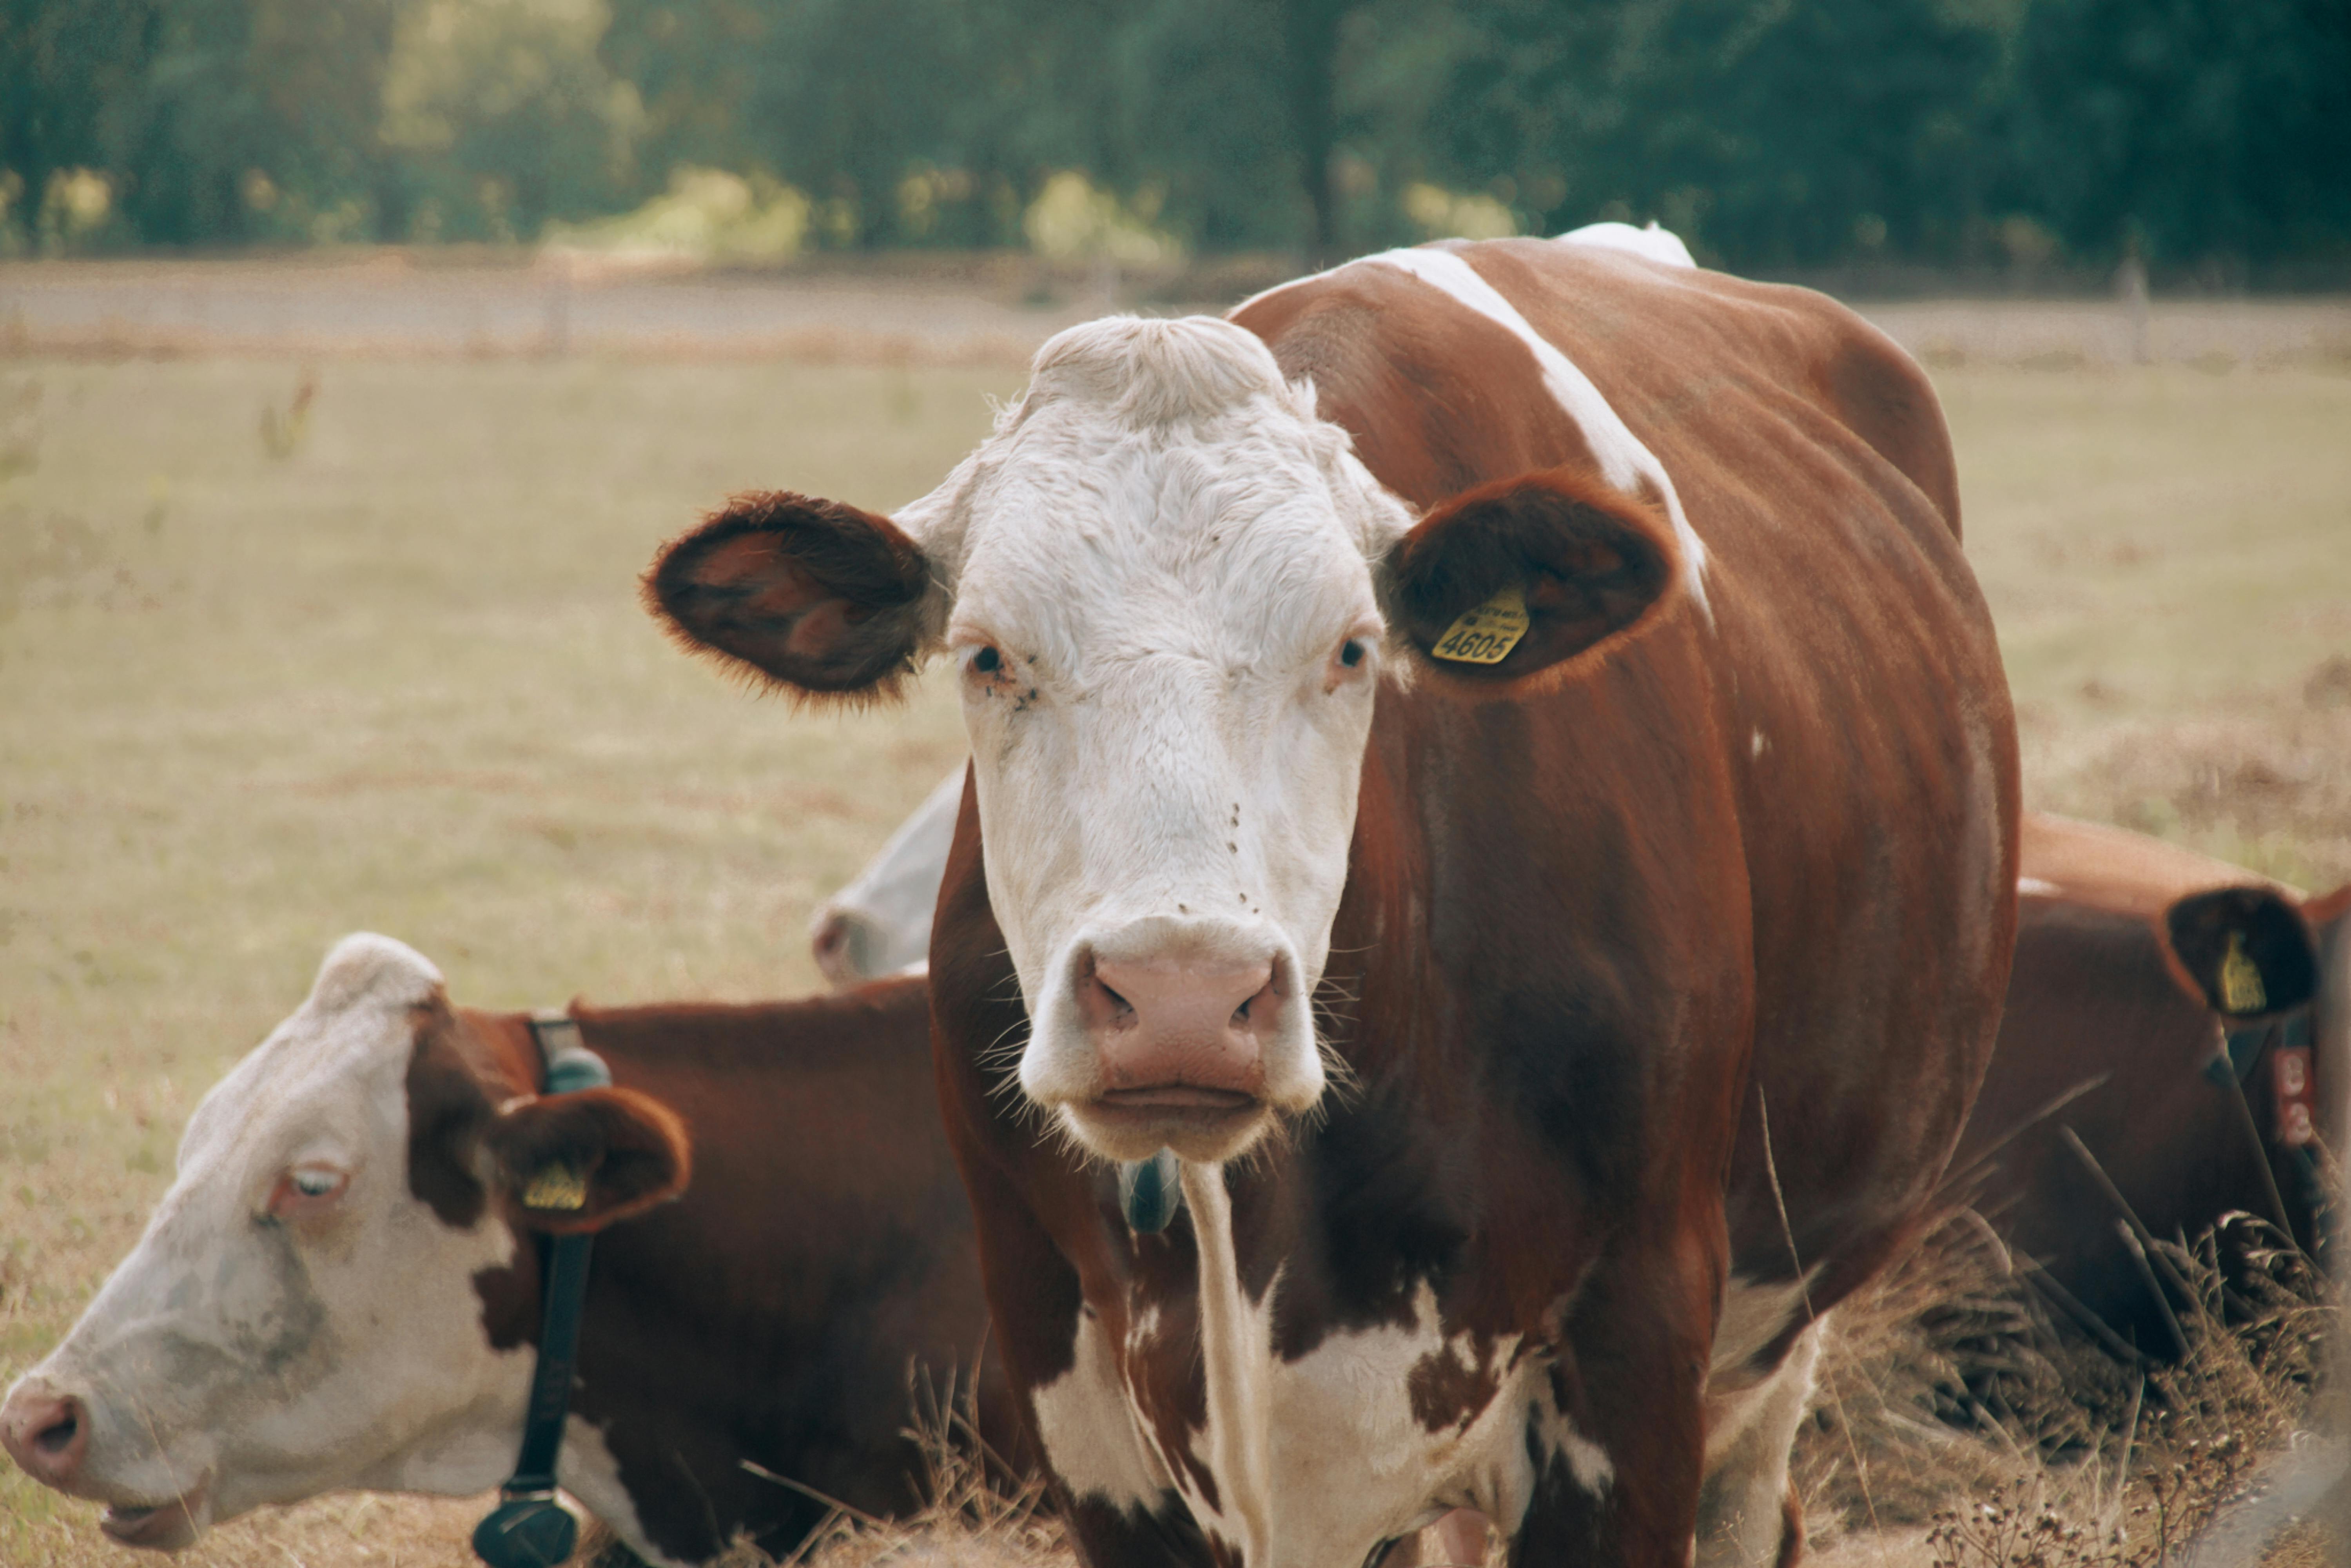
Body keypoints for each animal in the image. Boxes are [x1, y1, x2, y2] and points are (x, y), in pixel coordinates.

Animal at [645, 230, 2020, 1568]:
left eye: (1352, 649)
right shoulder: (1076, 1400)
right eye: (985, 655)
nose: (1182, 998)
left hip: (1771, 1338)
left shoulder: (1636, 1355)